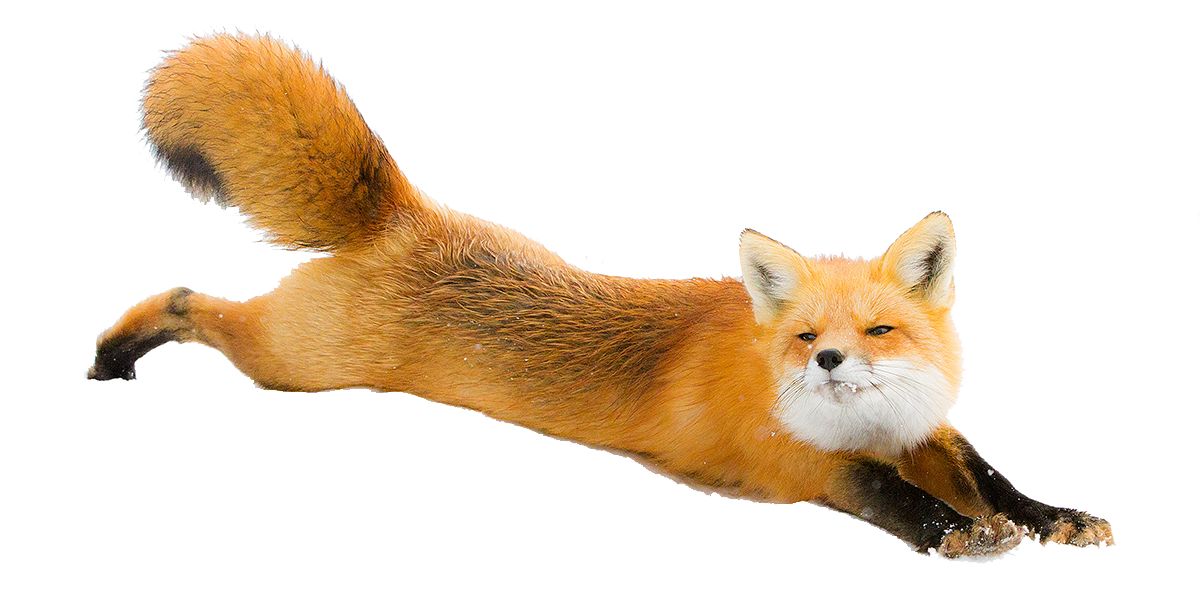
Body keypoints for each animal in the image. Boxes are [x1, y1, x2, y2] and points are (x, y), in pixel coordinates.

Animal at [89, 32, 1113, 558]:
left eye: (879, 329)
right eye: (804, 336)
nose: (828, 360)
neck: (863, 422)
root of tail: (404, 214)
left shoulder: (923, 431)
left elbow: (994, 475)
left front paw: (1050, 517)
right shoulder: (798, 463)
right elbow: (884, 493)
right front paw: (954, 532)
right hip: (295, 364)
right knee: (186, 297)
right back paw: (114, 351)